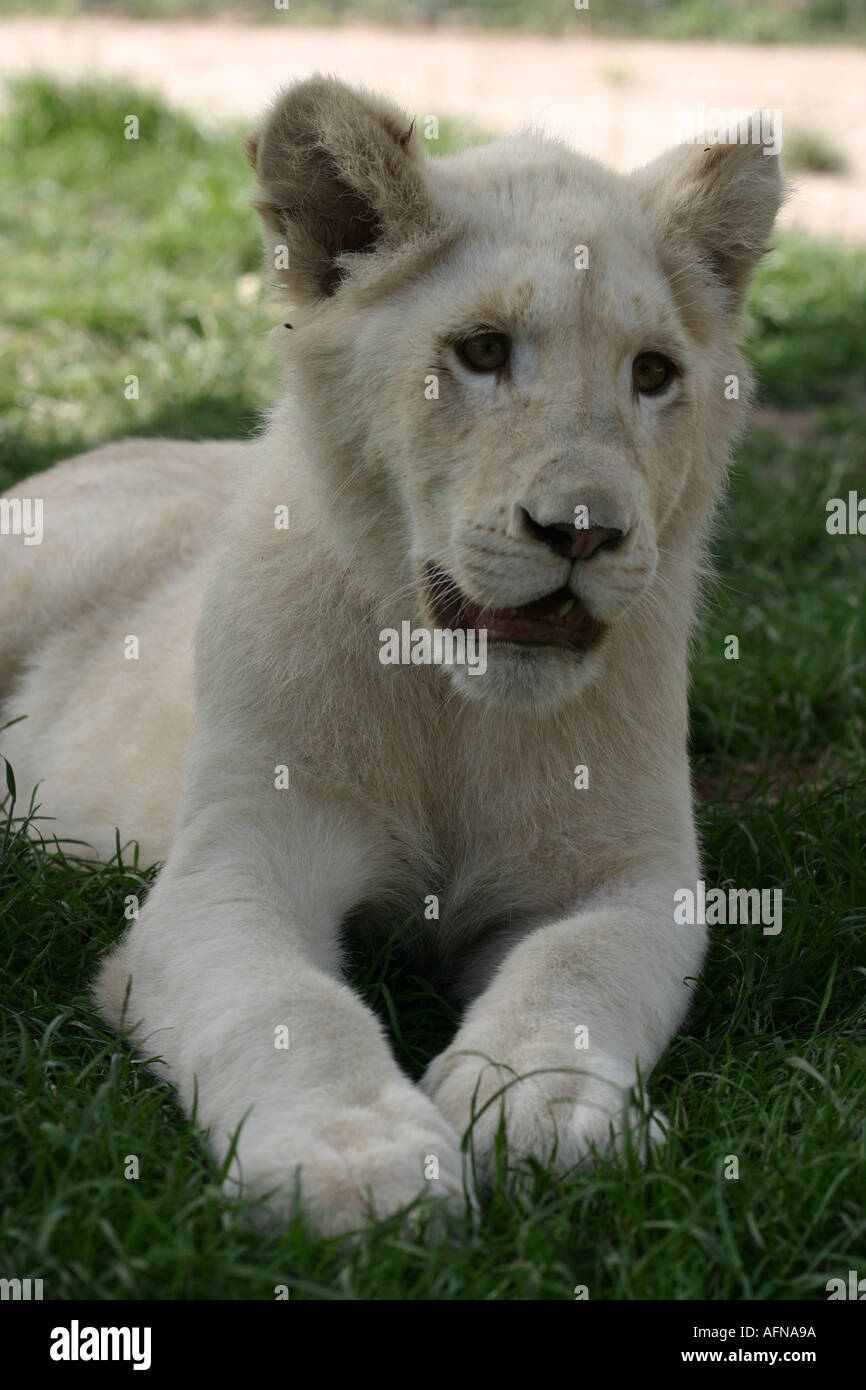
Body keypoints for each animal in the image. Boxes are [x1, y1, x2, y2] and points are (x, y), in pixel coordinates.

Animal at [0, 78, 781, 1234]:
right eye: (483, 352)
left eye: (651, 374)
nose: (583, 532)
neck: (452, 704)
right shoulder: (240, 851)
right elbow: (285, 1002)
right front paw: (353, 1161)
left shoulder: (631, 872)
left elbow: (572, 971)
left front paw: (545, 1115)